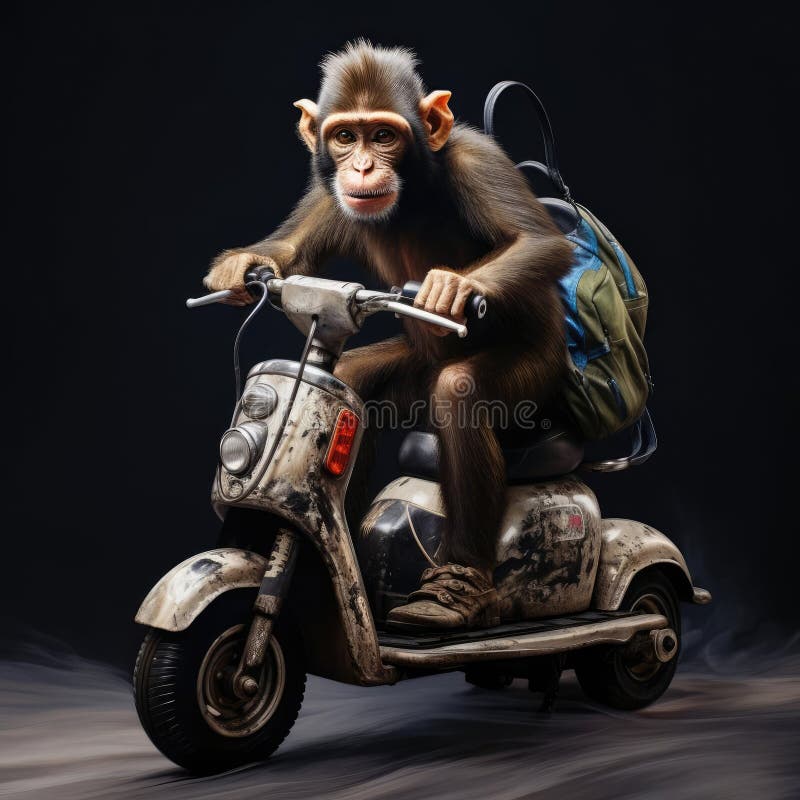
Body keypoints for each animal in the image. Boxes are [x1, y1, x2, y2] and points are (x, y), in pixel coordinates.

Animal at [204, 40, 573, 631]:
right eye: (344, 137)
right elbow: (294, 252)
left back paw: (454, 591)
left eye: (383, 135)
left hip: (541, 380)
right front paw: (239, 269)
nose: (360, 166)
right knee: (357, 377)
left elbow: (541, 243)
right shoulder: (327, 189)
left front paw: (452, 288)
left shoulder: (479, 162)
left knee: (458, 392)